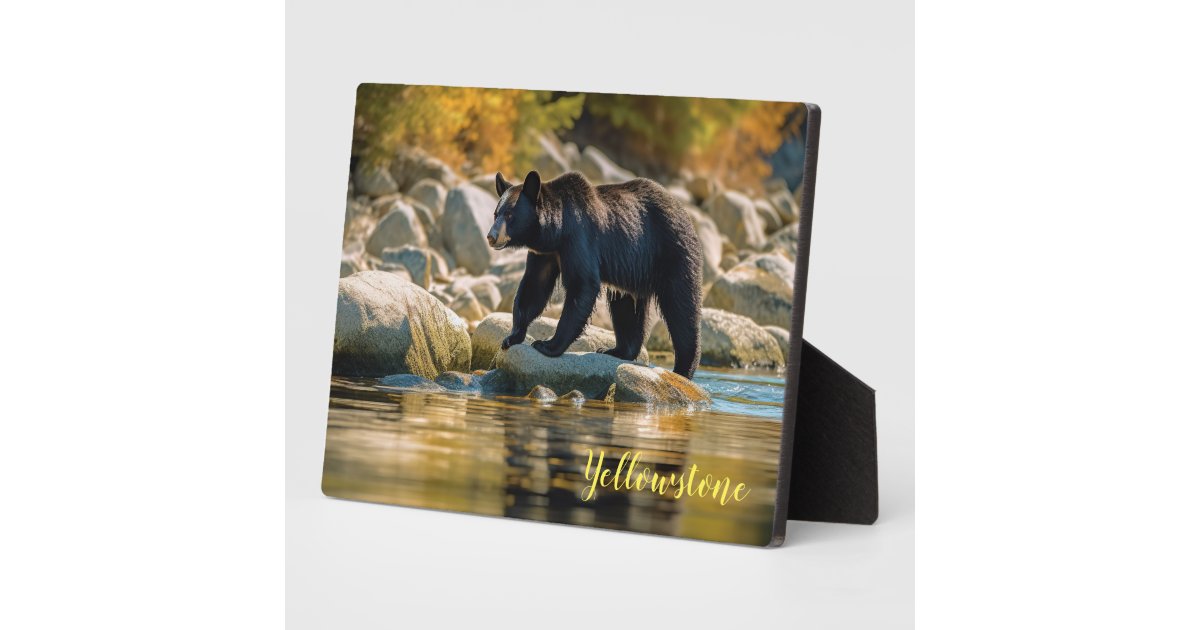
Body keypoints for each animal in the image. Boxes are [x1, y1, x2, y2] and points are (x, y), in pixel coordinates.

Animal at [487, 169, 703, 379]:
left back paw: (683, 369)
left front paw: (547, 345)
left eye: (510, 215)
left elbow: (583, 285)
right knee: (626, 308)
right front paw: (512, 337)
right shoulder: (545, 253)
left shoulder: (579, 237)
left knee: (681, 308)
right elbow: (534, 286)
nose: (491, 236)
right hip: (632, 273)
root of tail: (683, 211)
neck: (557, 231)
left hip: (673, 253)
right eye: (496, 213)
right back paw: (617, 351)